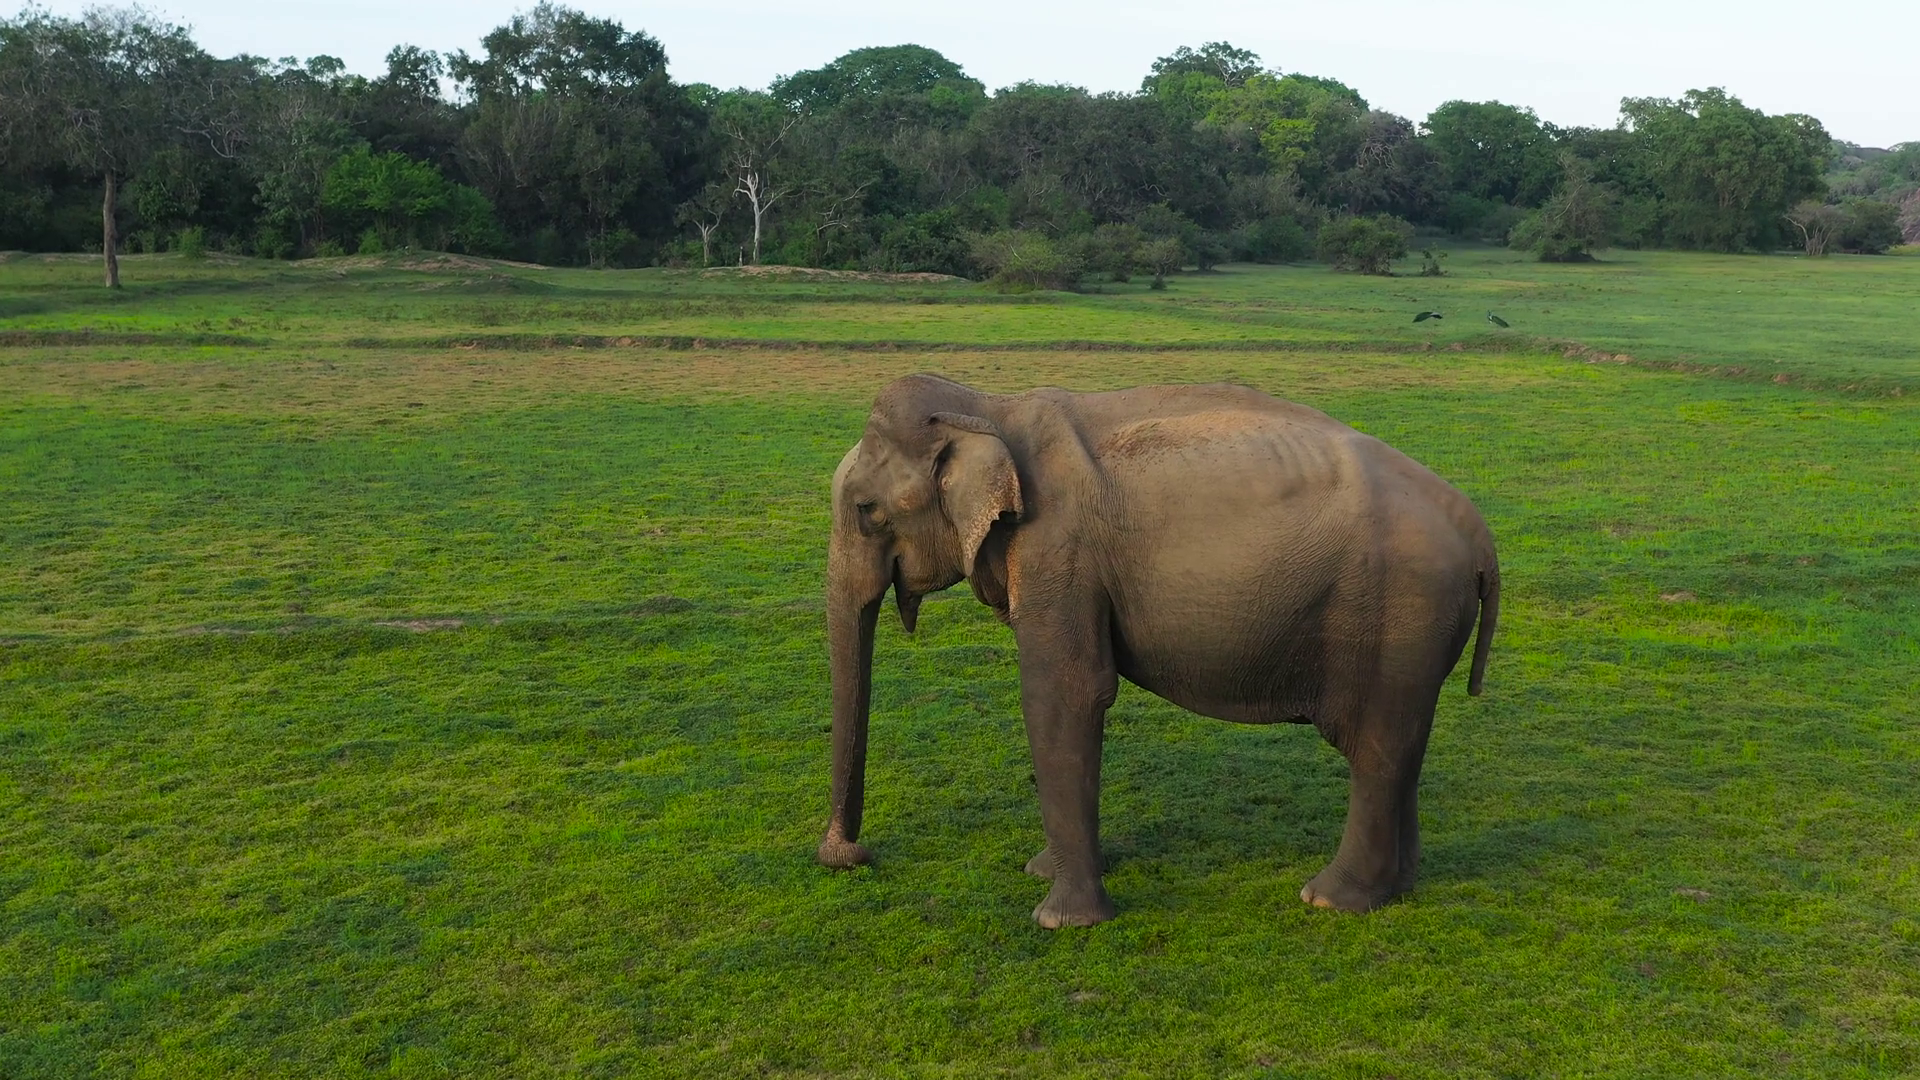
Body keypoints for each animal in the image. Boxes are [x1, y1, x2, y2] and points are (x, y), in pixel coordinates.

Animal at [816, 373, 1500, 929]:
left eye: (866, 510)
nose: (847, 856)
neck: (989, 405)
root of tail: (1480, 537)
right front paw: (1045, 870)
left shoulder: (1058, 553)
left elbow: (1066, 696)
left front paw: (1062, 918)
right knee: (1403, 745)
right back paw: (1397, 887)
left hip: (1400, 614)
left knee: (1377, 749)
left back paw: (1332, 899)